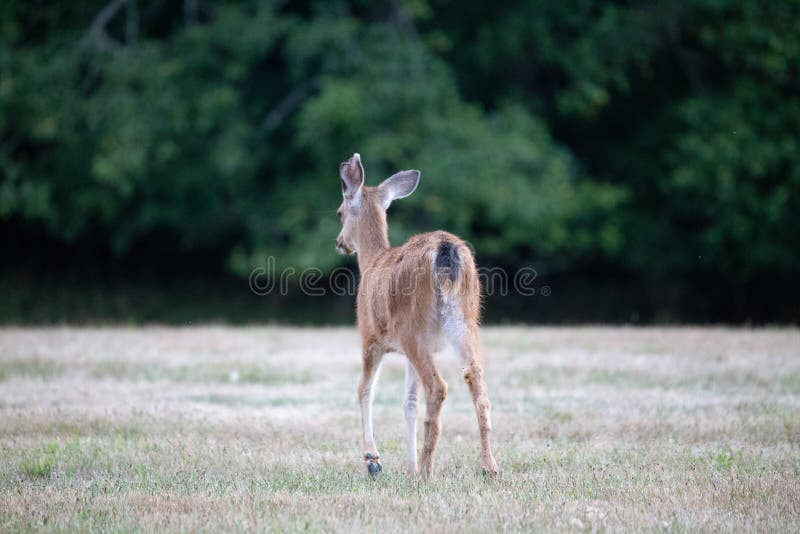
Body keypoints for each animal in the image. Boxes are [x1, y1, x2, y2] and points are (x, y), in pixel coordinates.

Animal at [335, 153, 498, 479]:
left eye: (339, 212)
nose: (339, 242)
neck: (371, 262)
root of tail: (445, 249)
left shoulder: (370, 337)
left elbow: (364, 389)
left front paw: (373, 460)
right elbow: (408, 403)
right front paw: (407, 467)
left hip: (411, 328)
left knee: (437, 387)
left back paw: (426, 471)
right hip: (466, 320)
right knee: (476, 381)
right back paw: (488, 467)